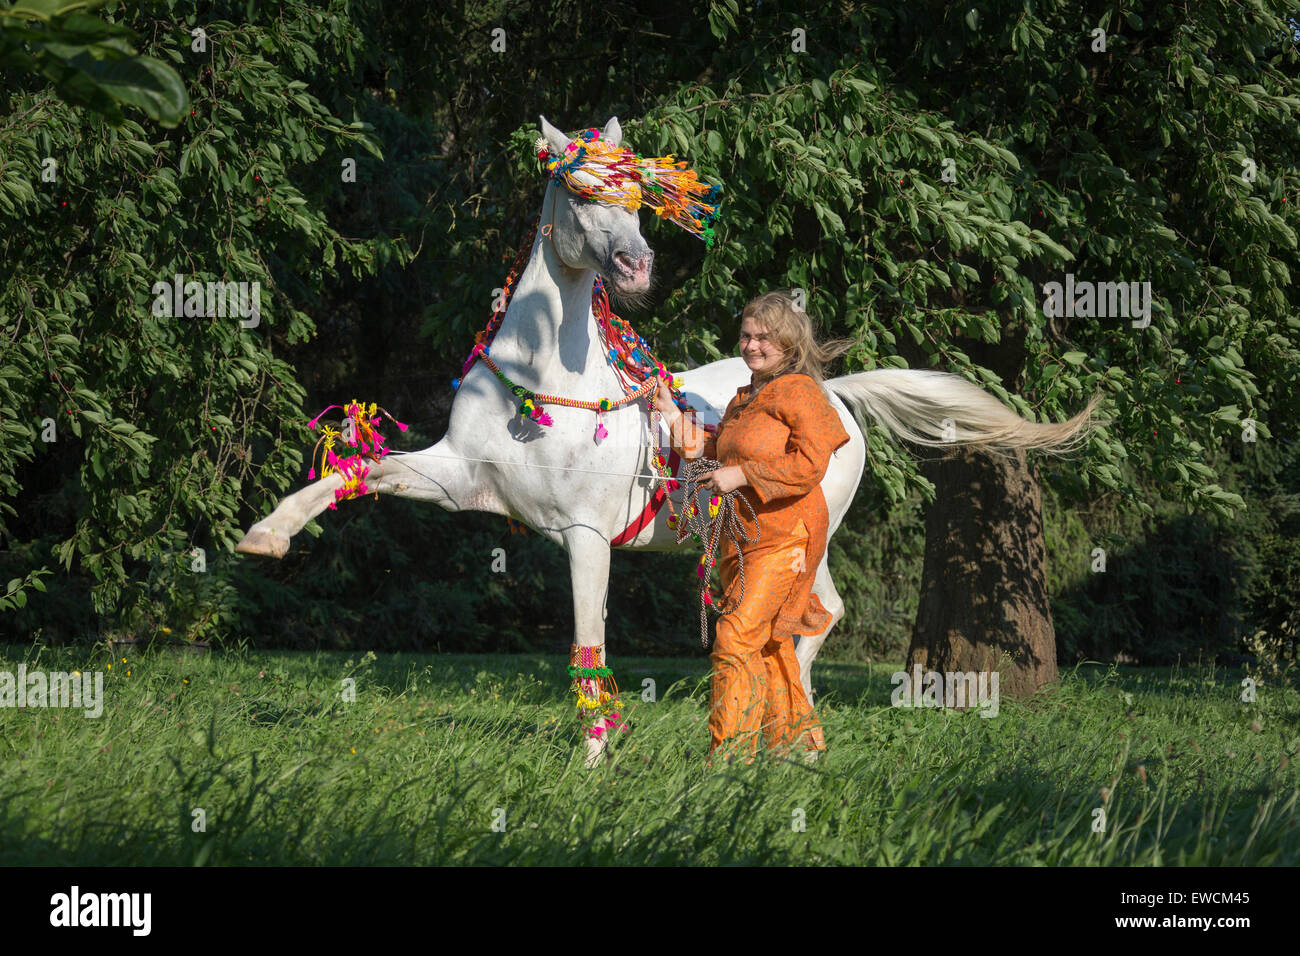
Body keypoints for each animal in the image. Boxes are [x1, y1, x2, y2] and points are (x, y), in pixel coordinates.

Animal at [235, 114, 1097, 767]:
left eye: (640, 195)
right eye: (581, 188)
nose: (636, 263)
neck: (541, 386)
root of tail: (835, 395)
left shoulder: (586, 536)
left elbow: (588, 647)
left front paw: (593, 766)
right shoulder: (459, 480)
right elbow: (359, 472)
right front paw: (265, 536)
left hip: (801, 537)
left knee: (811, 619)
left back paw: (789, 734)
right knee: (814, 619)